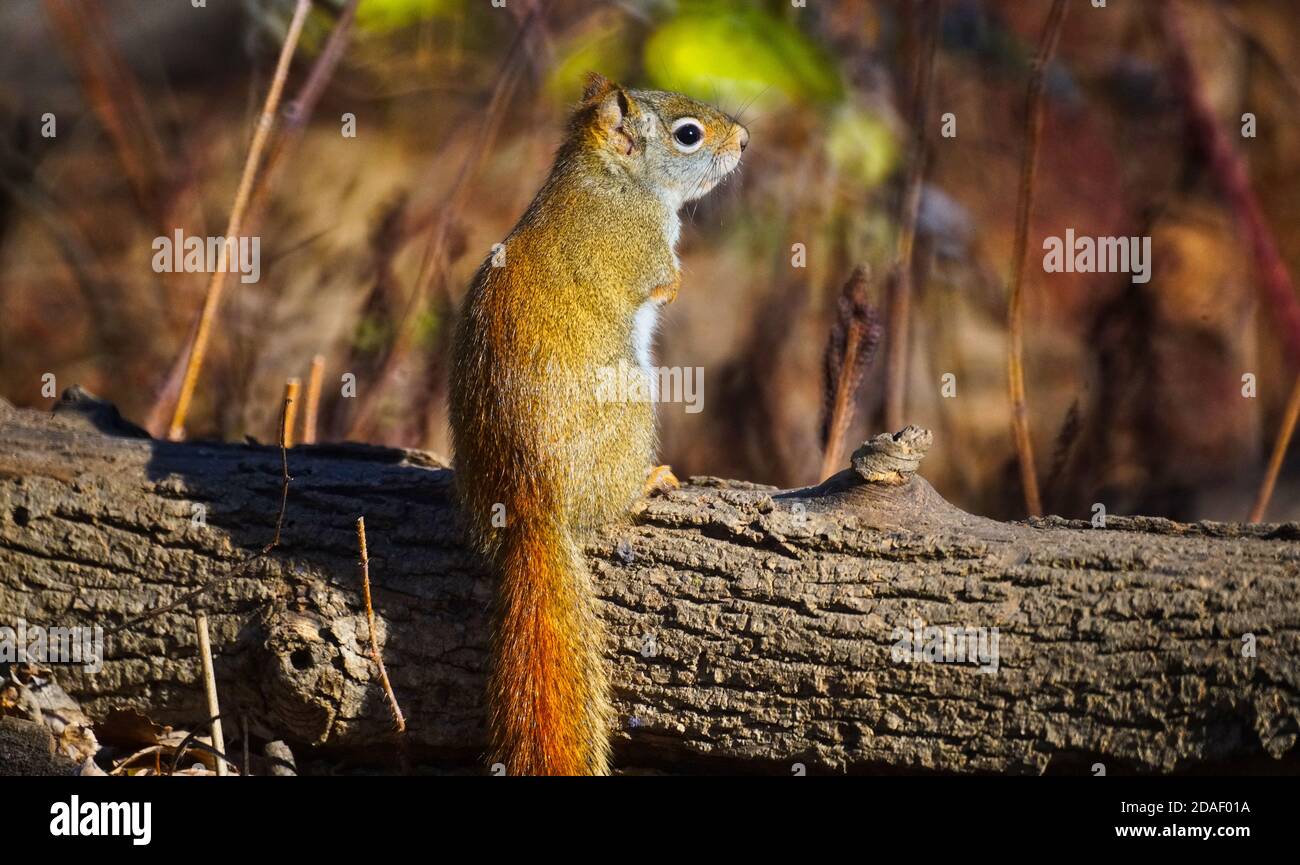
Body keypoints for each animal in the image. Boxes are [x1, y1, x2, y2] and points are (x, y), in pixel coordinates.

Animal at [449, 73, 748, 775]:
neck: (607, 177)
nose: (745, 139)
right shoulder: (645, 248)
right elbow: (665, 282)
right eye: (688, 134)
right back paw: (649, 482)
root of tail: (530, 502)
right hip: (633, 408)